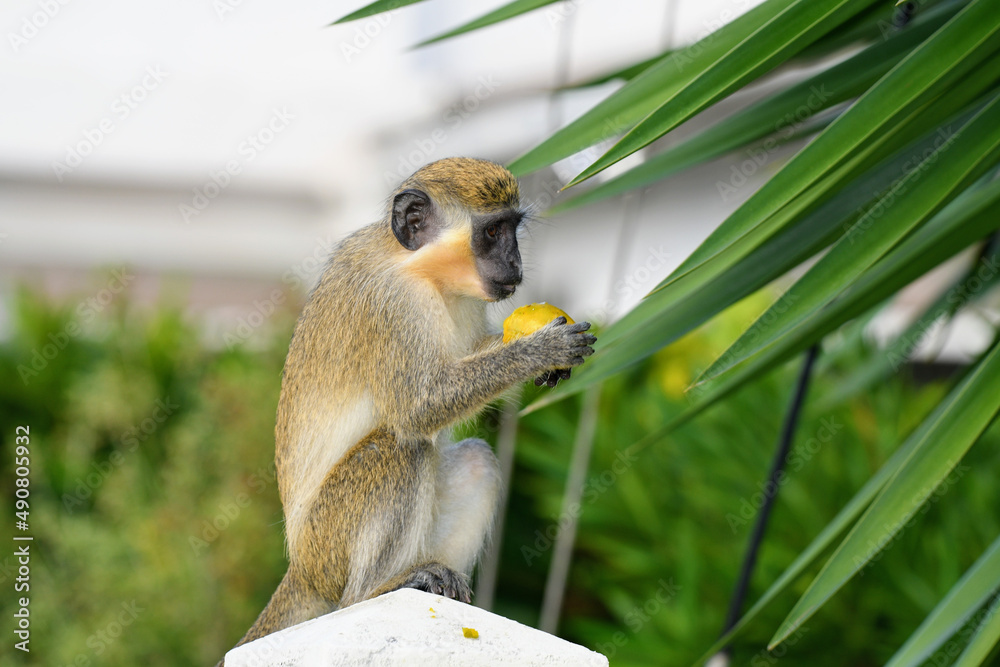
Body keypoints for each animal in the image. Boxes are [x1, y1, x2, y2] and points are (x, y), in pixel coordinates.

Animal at [217, 157, 596, 665]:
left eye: (513, 229)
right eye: (493, 231)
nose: (515, 264)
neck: (419, 267)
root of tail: (301, 569)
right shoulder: (394, 304)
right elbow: (418, 409)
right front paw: (539, 350)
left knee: (475, 461)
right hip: (329, 543)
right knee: (401, 450)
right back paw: (374, 591)